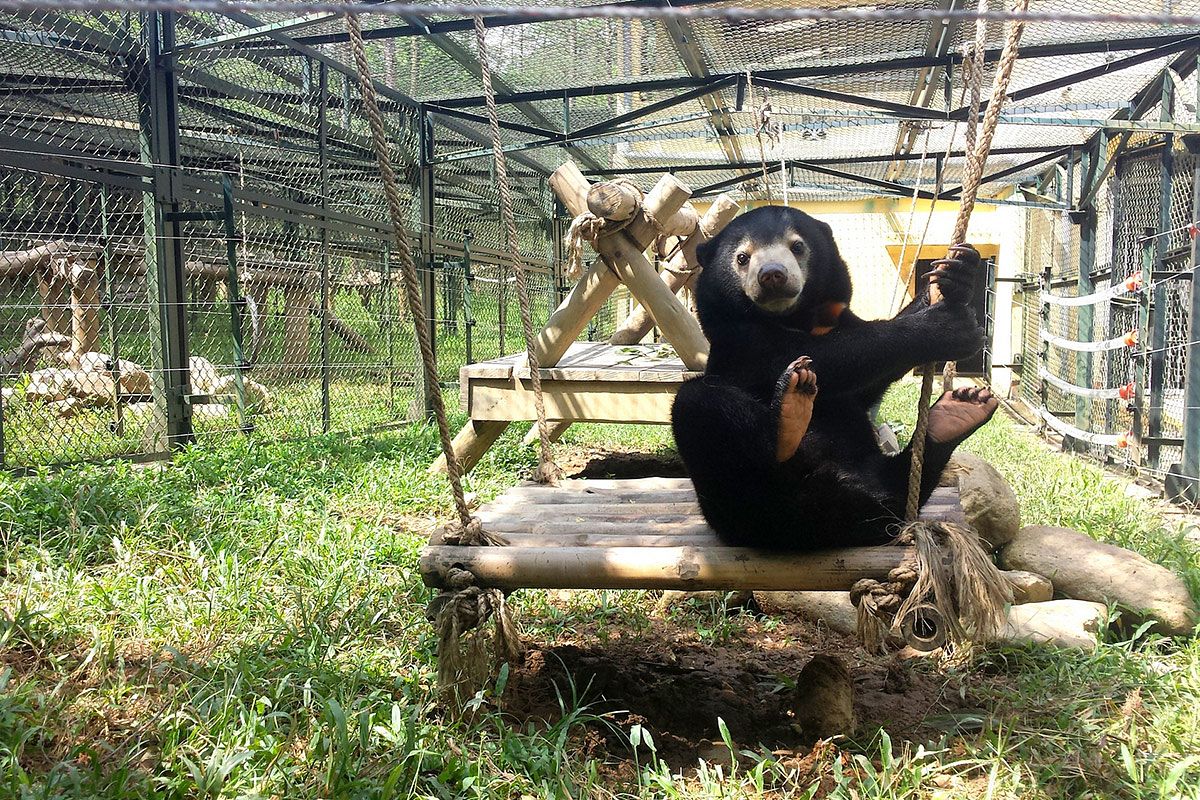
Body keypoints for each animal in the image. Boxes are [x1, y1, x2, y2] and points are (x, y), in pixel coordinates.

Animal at [670, 205, 997, 550]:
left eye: (797, 246)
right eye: (742, 257)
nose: (772, 275)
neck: (797, 317)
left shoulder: (839, 316)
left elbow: (863, 387)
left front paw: (955, 273)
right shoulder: (739, 341)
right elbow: (824, 356)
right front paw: (947, 328)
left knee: (895, 486)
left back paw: (957, 413)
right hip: (729, 504)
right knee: (699, 403)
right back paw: (789, 416)